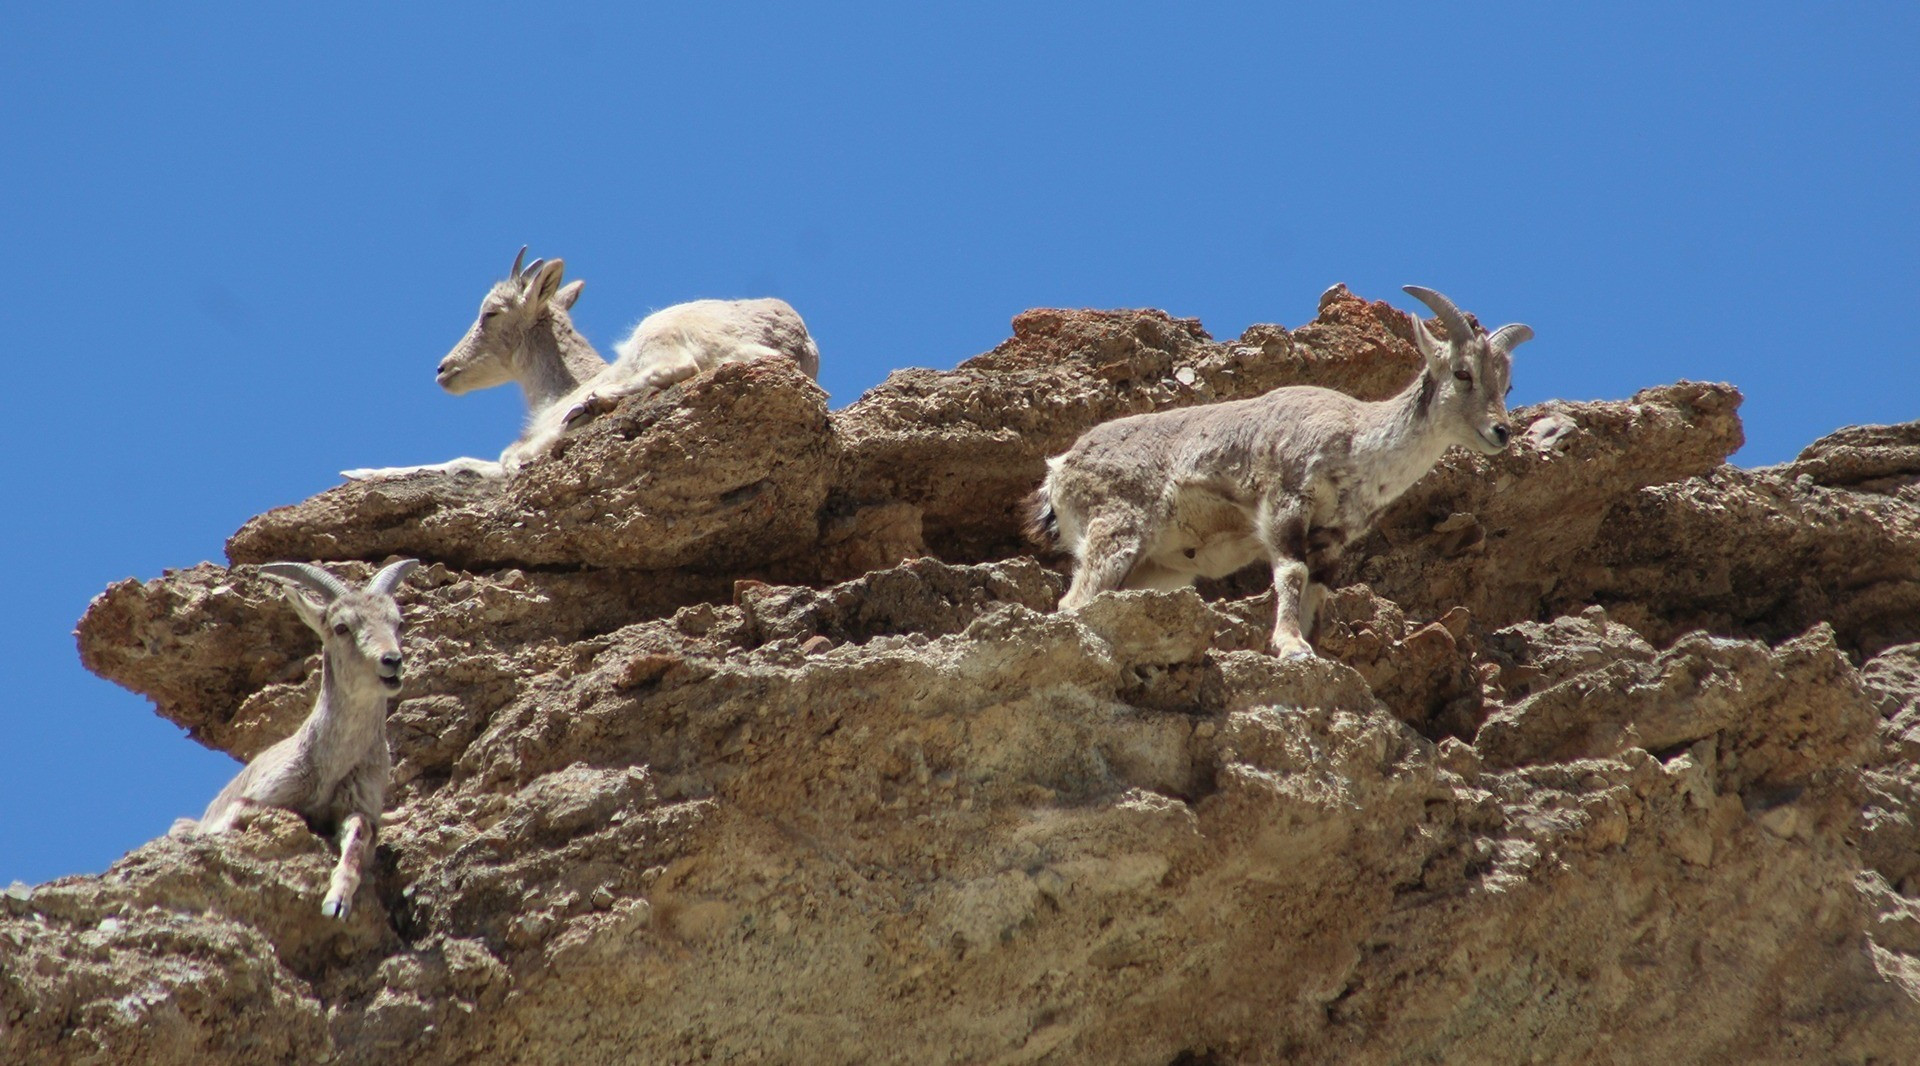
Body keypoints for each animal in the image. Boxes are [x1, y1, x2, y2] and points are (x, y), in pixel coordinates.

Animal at [172, 559, 419, 919]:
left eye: (397, 622)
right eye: (341, 627)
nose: (392, 661)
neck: (331, 764)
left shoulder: (360, 806)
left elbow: (359, 835)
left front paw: (336, 902)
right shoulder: (263, 794)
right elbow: (257, 811)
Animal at [1025, 286, 1532, 659]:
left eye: (1506, 385)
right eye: (1463, 373)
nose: (1501, 432)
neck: (1357, 443)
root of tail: (1059, 471)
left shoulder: (1332, 537)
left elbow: (1318, 592)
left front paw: (1314, 650)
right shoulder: (1285, 504)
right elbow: (1290, 573)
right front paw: (1290, 646)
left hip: (1154, 568)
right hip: (1117, 530)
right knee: (1073, 601)